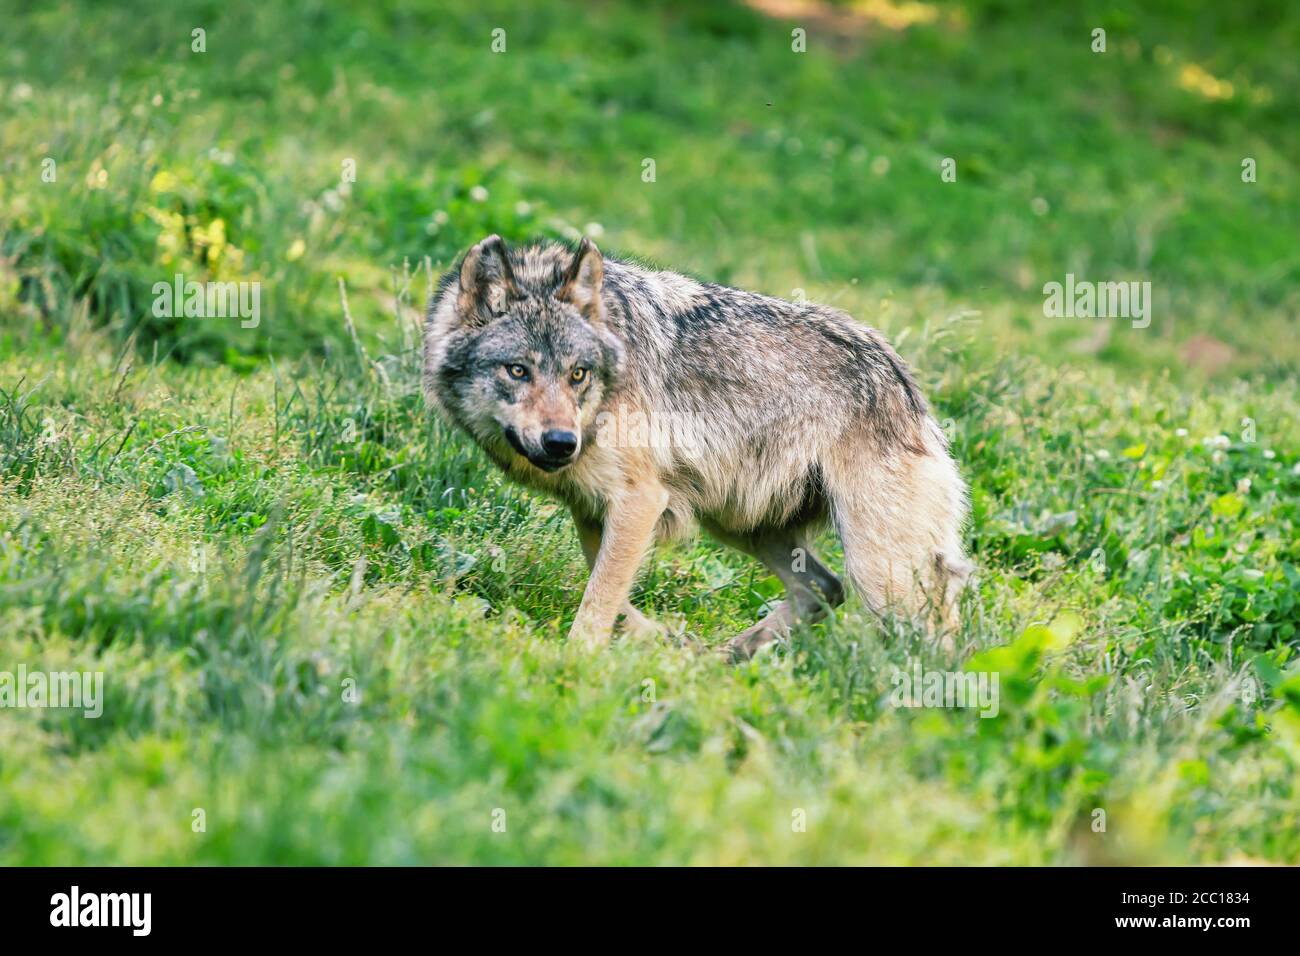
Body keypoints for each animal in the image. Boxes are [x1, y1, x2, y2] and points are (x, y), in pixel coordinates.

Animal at [424, 235, 971, 659]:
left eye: (577, 374)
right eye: (518, 370)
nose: (562, 443)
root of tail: (903, 380)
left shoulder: (640, 500)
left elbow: (601, 597)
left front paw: (576, 660)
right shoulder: (592, 508)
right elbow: (611, 595)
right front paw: (661, 641)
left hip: (877, 570)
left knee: (930, 630)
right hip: (743, 526)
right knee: (823, 589)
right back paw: (729, 654)